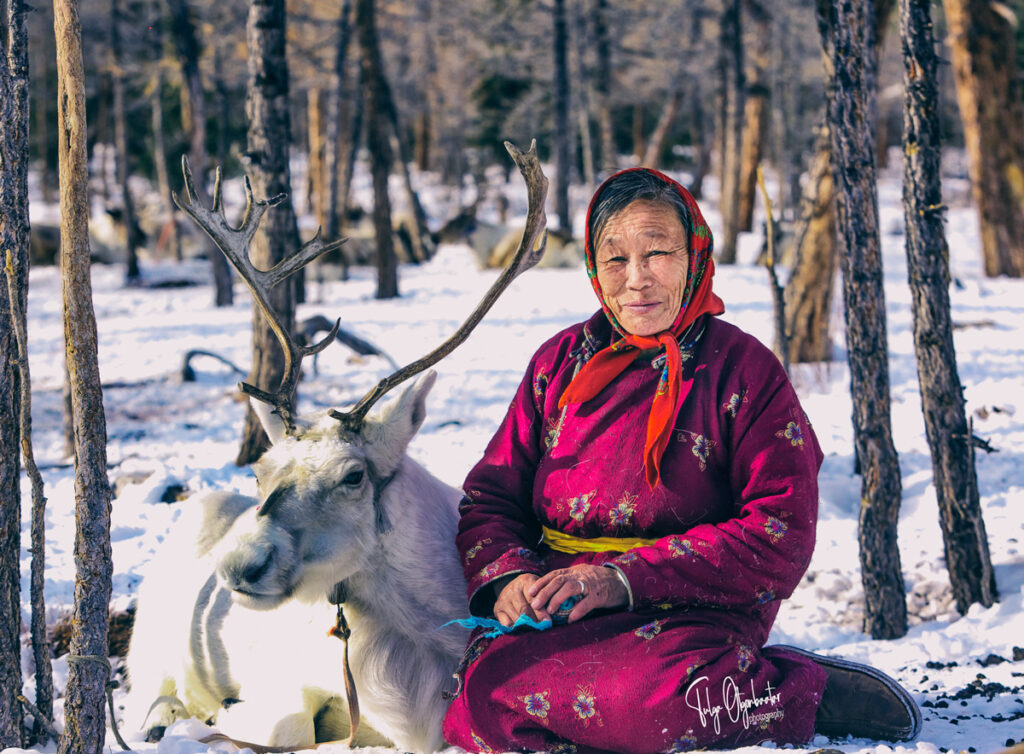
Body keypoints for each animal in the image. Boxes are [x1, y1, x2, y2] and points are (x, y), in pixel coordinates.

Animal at [122, 141, 549, 752]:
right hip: (149, 645)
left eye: (354, 476)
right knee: (150, 694)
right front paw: (224, 714)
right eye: (259, 472)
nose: (239, 564)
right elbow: (288, 720)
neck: (426, 632)